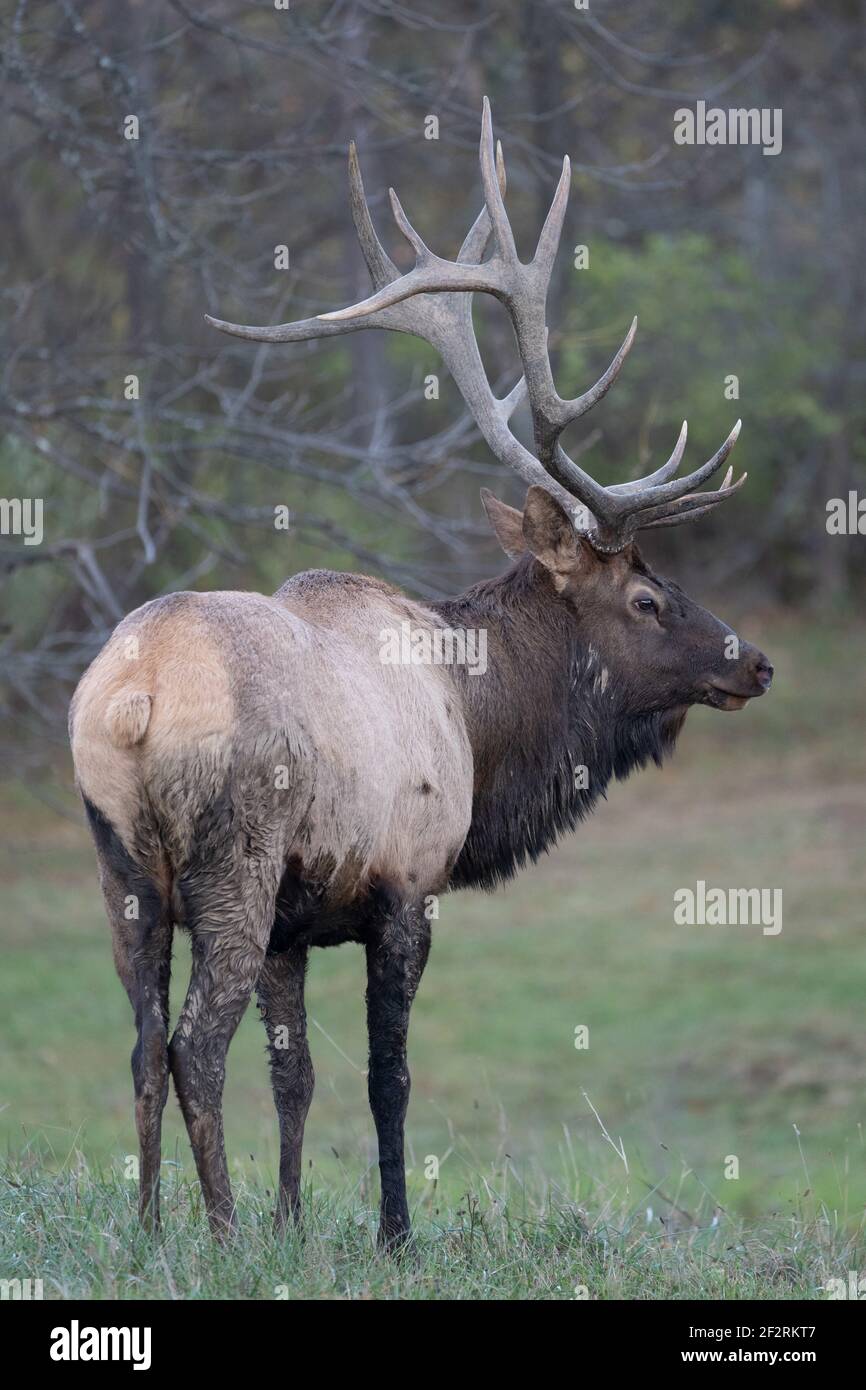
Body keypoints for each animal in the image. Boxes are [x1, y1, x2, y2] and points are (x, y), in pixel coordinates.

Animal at [69, 100, 773, 1249]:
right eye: (644, 599)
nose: (752, 661)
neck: (481, 722)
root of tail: (131, 703)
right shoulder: (404, 885)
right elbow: (385, 1078)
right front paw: (391, 1234)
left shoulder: (298, 924)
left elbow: (298, 1077)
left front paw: (294, 1221)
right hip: (233, 862)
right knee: (192, 1047)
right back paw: (216, 1234)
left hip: (122, 872)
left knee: (138, 1044)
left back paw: (150, 1226)